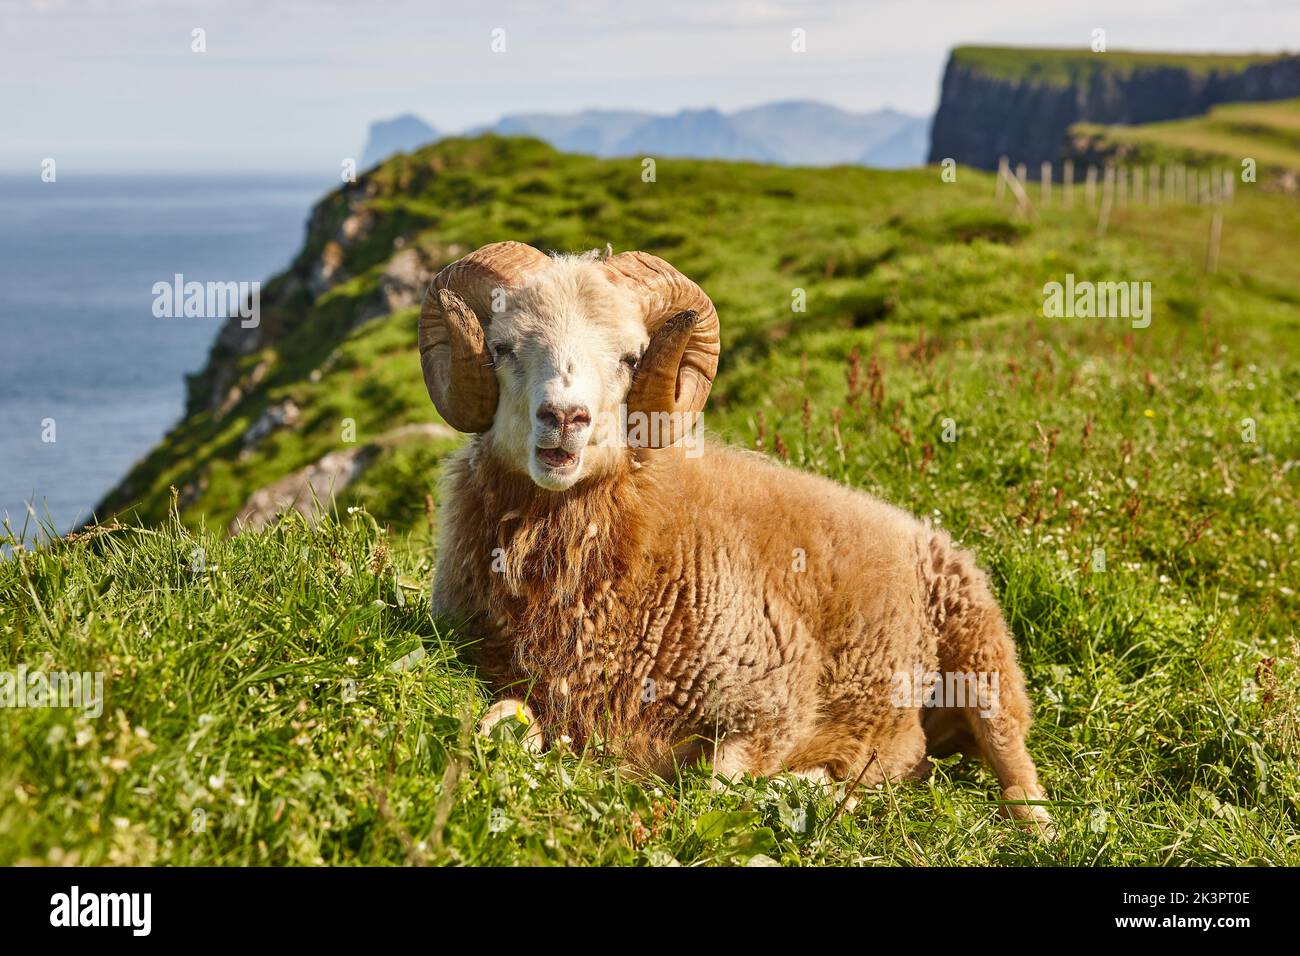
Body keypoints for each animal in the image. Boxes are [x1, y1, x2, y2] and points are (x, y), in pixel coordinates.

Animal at [420, 241, 1052, 833]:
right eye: (502, 348)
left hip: (984, 663)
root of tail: (921, 527)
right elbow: (497, 723)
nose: (564, 418)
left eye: (630, 357)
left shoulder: (774, 702)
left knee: (1014, 767)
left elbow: (715, 788)